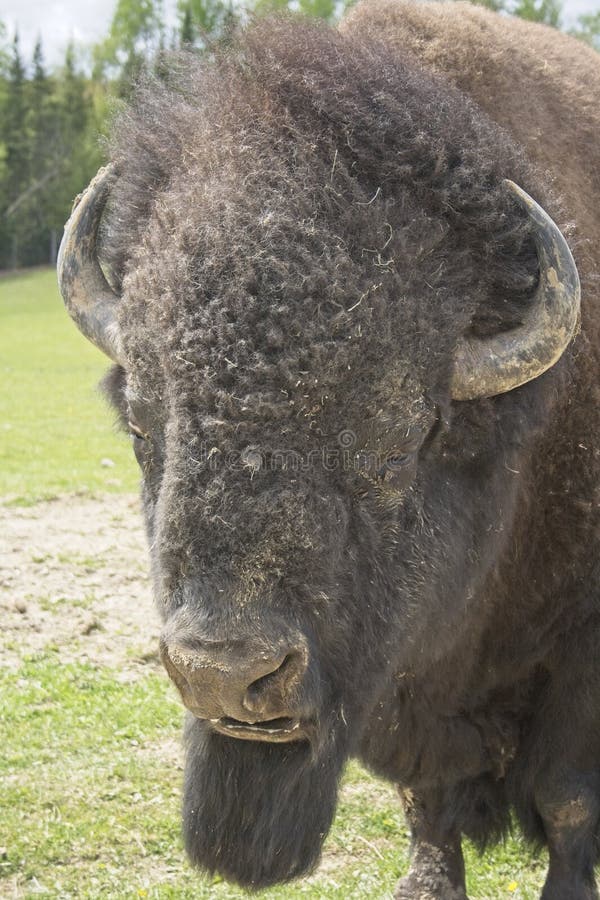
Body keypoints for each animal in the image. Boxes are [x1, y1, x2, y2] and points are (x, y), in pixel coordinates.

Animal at [58, 3, 600, 898]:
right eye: (142, 429)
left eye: (399, 443)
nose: (223, 673)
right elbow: (426, 795)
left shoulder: (578, 662)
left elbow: (567, 800)